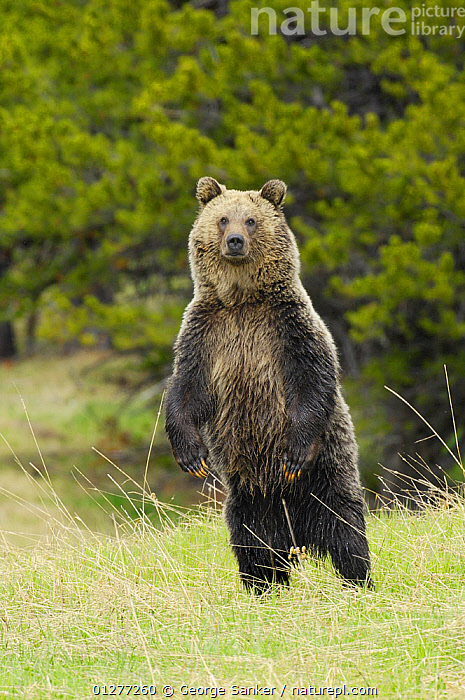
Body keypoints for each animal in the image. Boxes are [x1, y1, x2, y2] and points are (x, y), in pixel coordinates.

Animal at [165, 177, 372, 592]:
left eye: (251, 219)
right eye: (223, 218)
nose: (234, 241)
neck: (242, 300)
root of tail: (299, 539)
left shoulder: (288, 328)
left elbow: (314, 380)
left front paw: (293, 453)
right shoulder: (205, 334)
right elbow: (187, 389)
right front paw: (192, 457)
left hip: (327, 475)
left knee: (345, 527)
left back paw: (359, 582)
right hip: (248, 495)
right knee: (252, 540)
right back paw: (263, 584)